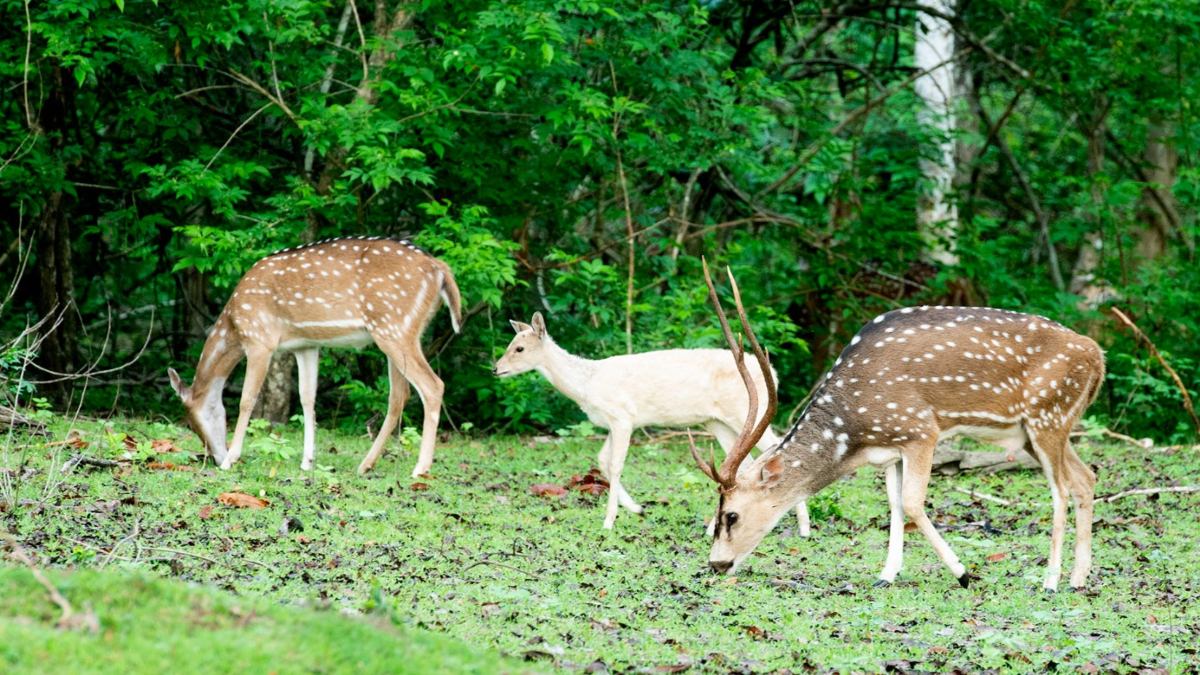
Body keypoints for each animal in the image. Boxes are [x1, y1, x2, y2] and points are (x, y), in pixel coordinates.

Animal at [168, 236, 462, 478]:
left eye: (193, 423)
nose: (214, 458)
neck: (234, 325)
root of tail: (440, 270)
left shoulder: (260, 339)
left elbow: (247, 400)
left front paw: (232, 459)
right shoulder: (306, 345)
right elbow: (307, 397)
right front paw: (307, 461)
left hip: (394, 327)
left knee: (433, 385)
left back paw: (420, 468)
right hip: (402, 332)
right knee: (399, 396)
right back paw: (366, 464)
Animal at [493, 311, 809, 534]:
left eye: (519, 348)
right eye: (510, 344)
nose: (496, 369)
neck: (587, 385)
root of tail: (774, 374)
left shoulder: (622, 416)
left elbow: (616, 464)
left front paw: (609, 521)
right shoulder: (613, 421)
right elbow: (602, 459)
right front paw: (637, 508)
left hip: (745, 410)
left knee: (776, 447)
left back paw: (804, 527)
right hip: (717, 422)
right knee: (742, 464)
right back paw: (713, 527)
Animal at [694, 263, 1104, 591]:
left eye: (731, 515)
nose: (716, 563)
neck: (854, 433)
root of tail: (1097, 356)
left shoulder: (921, 429)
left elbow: (911, 502)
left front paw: (963, 574)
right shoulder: (892, 447)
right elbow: (893, 503)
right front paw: (886, 575)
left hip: (1047, 416)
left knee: (1060, 490)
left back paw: (1051, 581)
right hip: (1044, 429)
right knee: (1086, 478)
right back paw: (1078, 579)